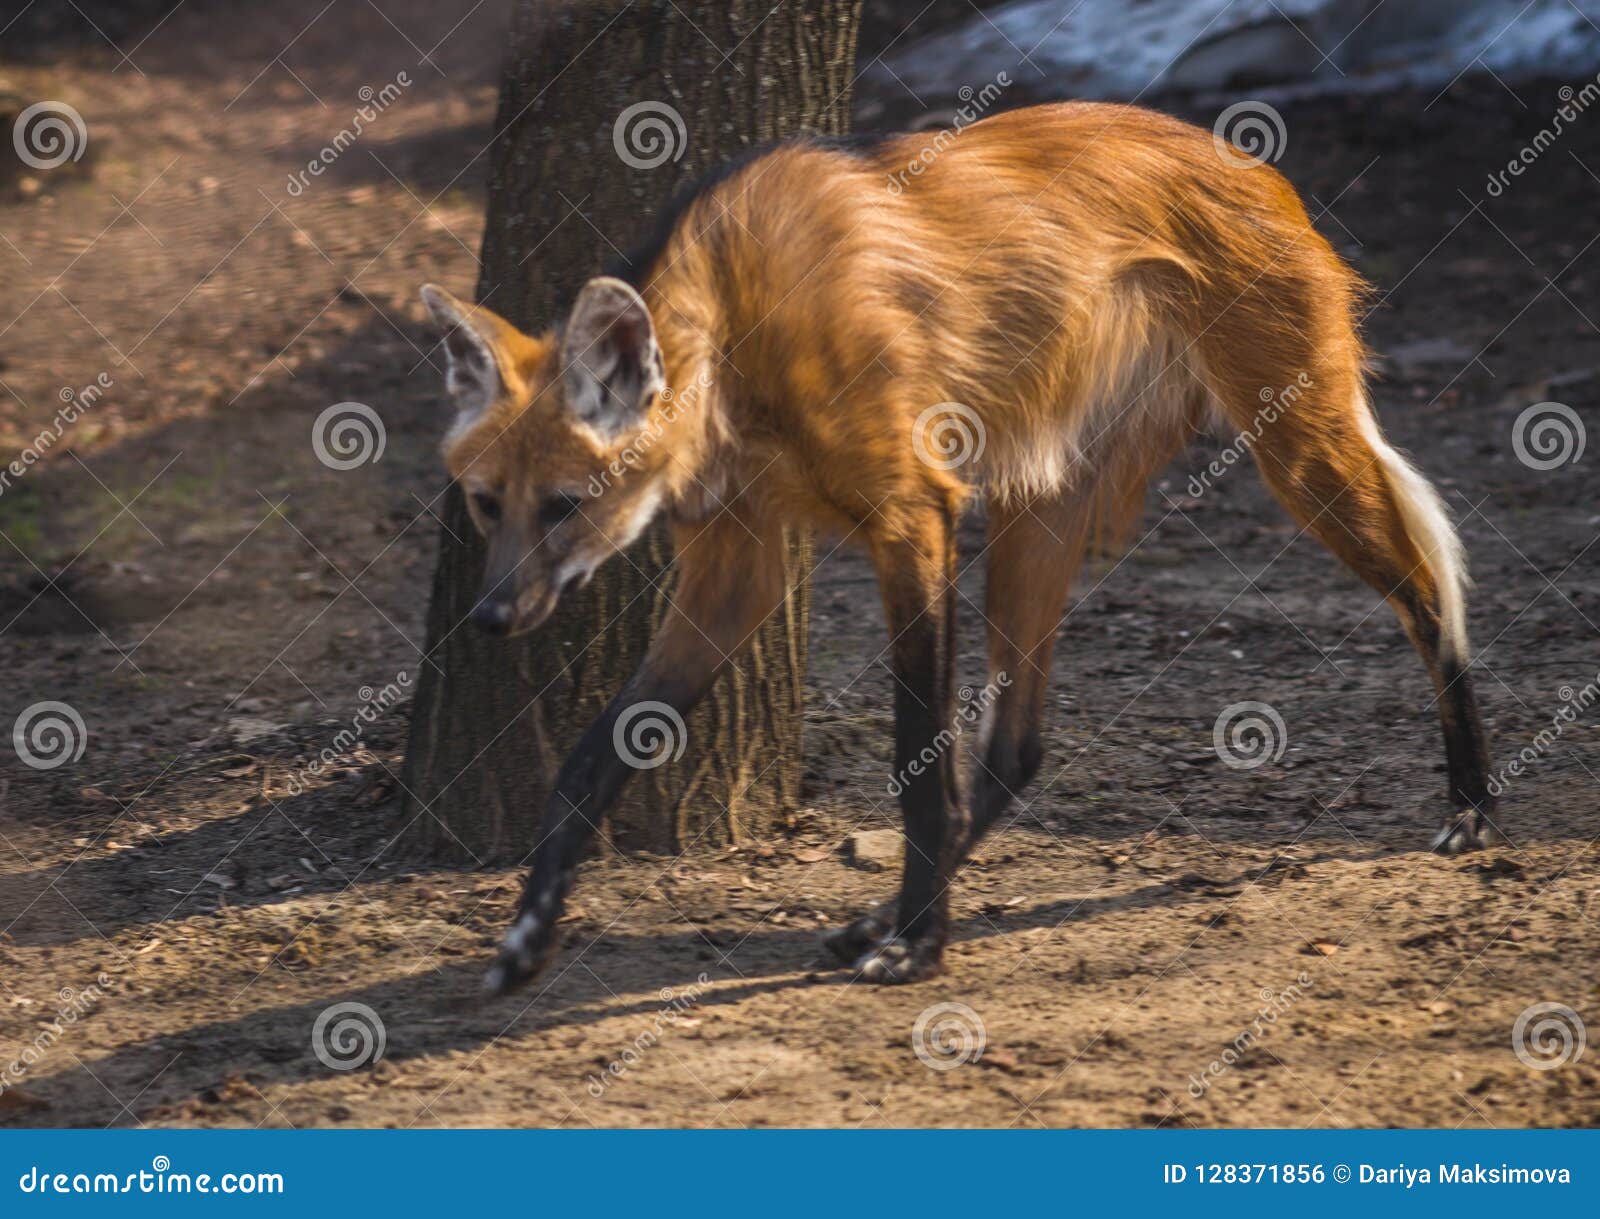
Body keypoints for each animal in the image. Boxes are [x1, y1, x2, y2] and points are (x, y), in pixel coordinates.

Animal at [419, 101, 1497, 996]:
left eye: (563, 505)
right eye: (486, 505)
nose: (492, 615)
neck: (738, 339)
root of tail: (1261, 167)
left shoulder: (911, 519)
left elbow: (917, 760)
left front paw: (923, 949)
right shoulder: (738, 566)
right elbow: (592, 757)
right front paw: (525, 936)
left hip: (1293, 449)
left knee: (1429, 595)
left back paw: (1474, 808)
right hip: (1041, 500)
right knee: (1019, 742)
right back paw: (878, 916)